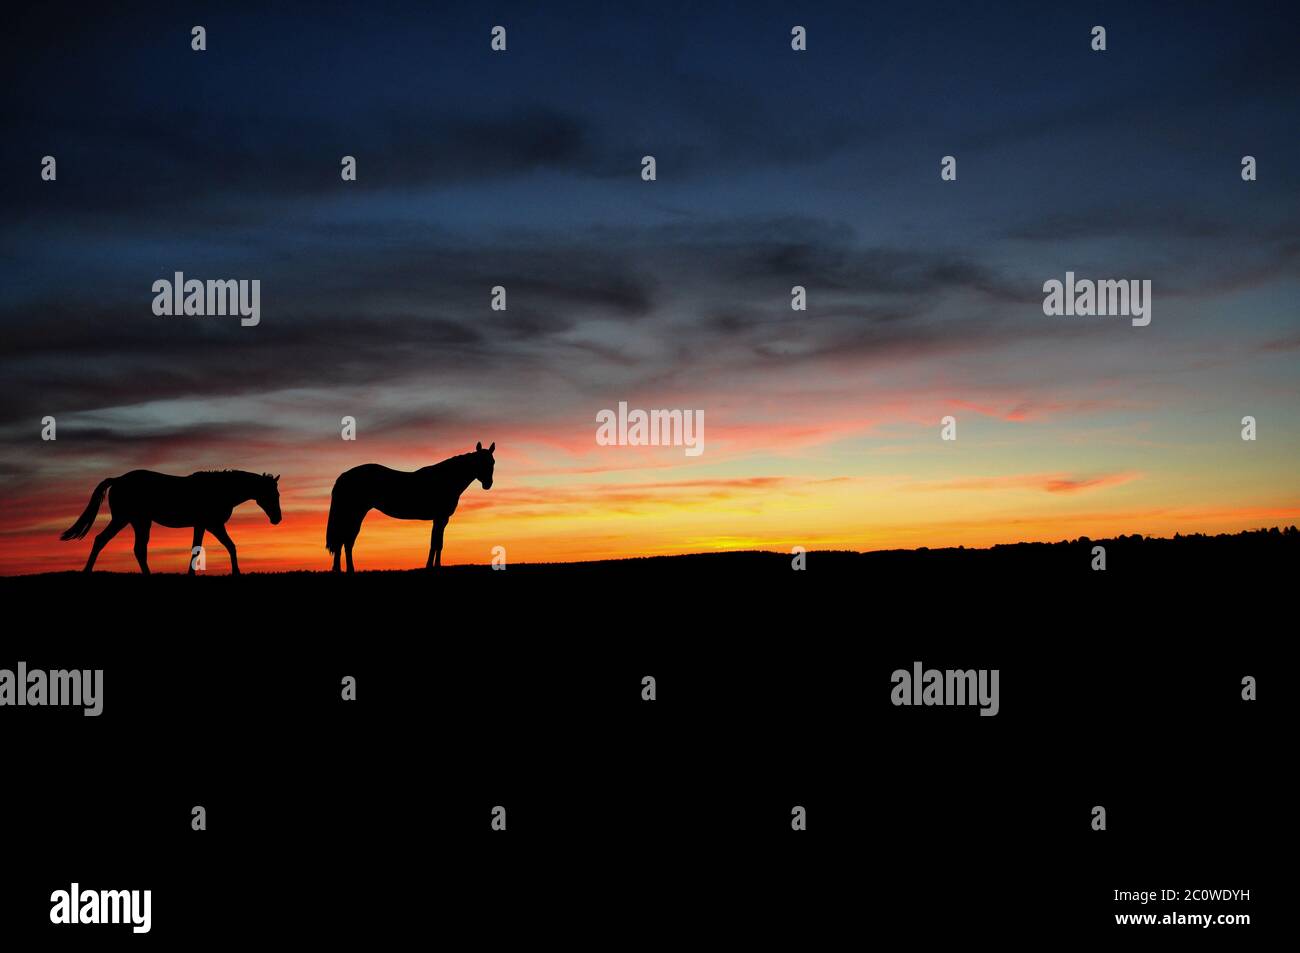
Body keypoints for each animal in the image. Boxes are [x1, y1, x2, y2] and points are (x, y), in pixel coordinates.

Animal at [60, 469, 282, 574]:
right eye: (273, 494)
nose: (277, 519)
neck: (220, 490)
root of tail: (118, 479)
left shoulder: (205, 525)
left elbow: (207, 547)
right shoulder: (212, 524)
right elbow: (226, 547)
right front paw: (236, 573)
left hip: (136, 521)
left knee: (130, 547)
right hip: (127, 519)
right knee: (107, 541)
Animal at [326, 442, 495, 572]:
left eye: (492, 462)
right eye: (480, 462)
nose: (488, 484)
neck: (446, 479)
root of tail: (344, 476)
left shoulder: (441, 519)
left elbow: (437, 543)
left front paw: (434, 566)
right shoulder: (440, 517)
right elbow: (436, 543)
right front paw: (432, 567)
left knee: (343, 541)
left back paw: (339, 570)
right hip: (355, 514)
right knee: (346, 540)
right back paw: (348, 570)